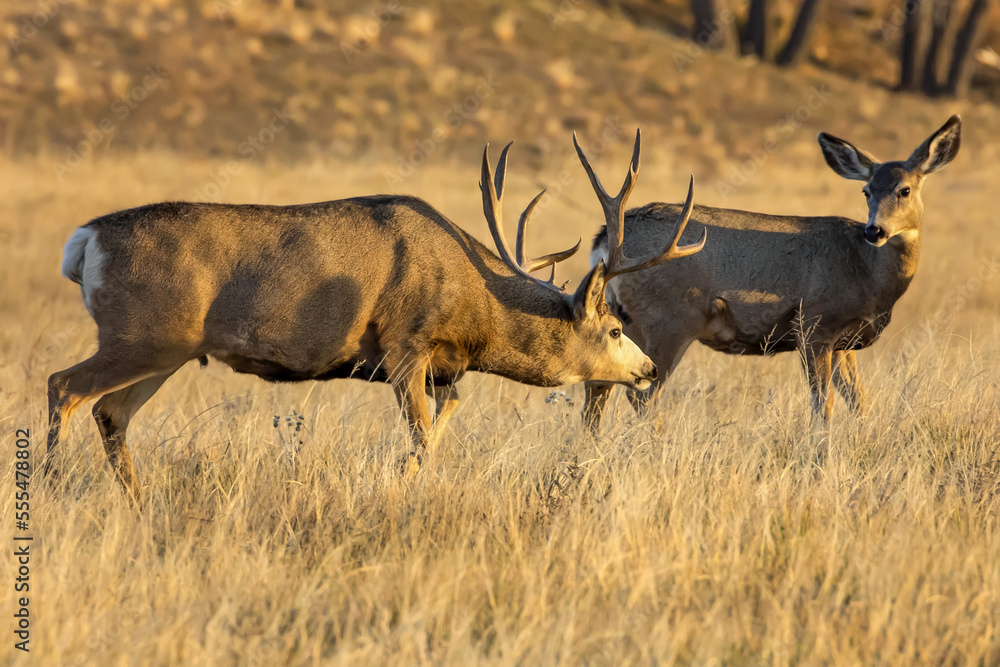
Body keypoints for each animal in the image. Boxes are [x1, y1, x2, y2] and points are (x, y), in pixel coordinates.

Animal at [44, 133, 703, 504]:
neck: (477, 308)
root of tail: (83, 241)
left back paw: (138, 505)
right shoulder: (406, 345)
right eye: (614, 330)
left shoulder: (440, 368)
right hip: (143, 335)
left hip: (168, 349)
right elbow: (421, 433)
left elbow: (442, 421)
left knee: (110, 412)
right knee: (65, 386)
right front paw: (408, 487)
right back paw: (49, 491)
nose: (648, 370)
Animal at [579, 116, 961, 430]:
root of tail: (604, 242)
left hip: (621, 324)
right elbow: (823, 405)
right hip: (667, 321)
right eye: (866, 190)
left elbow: (859, 402)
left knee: (596, 393)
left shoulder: (844, 343)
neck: (867, 273)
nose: (875, 230)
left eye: (904, 190)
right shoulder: (815, 325)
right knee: (641, 395)